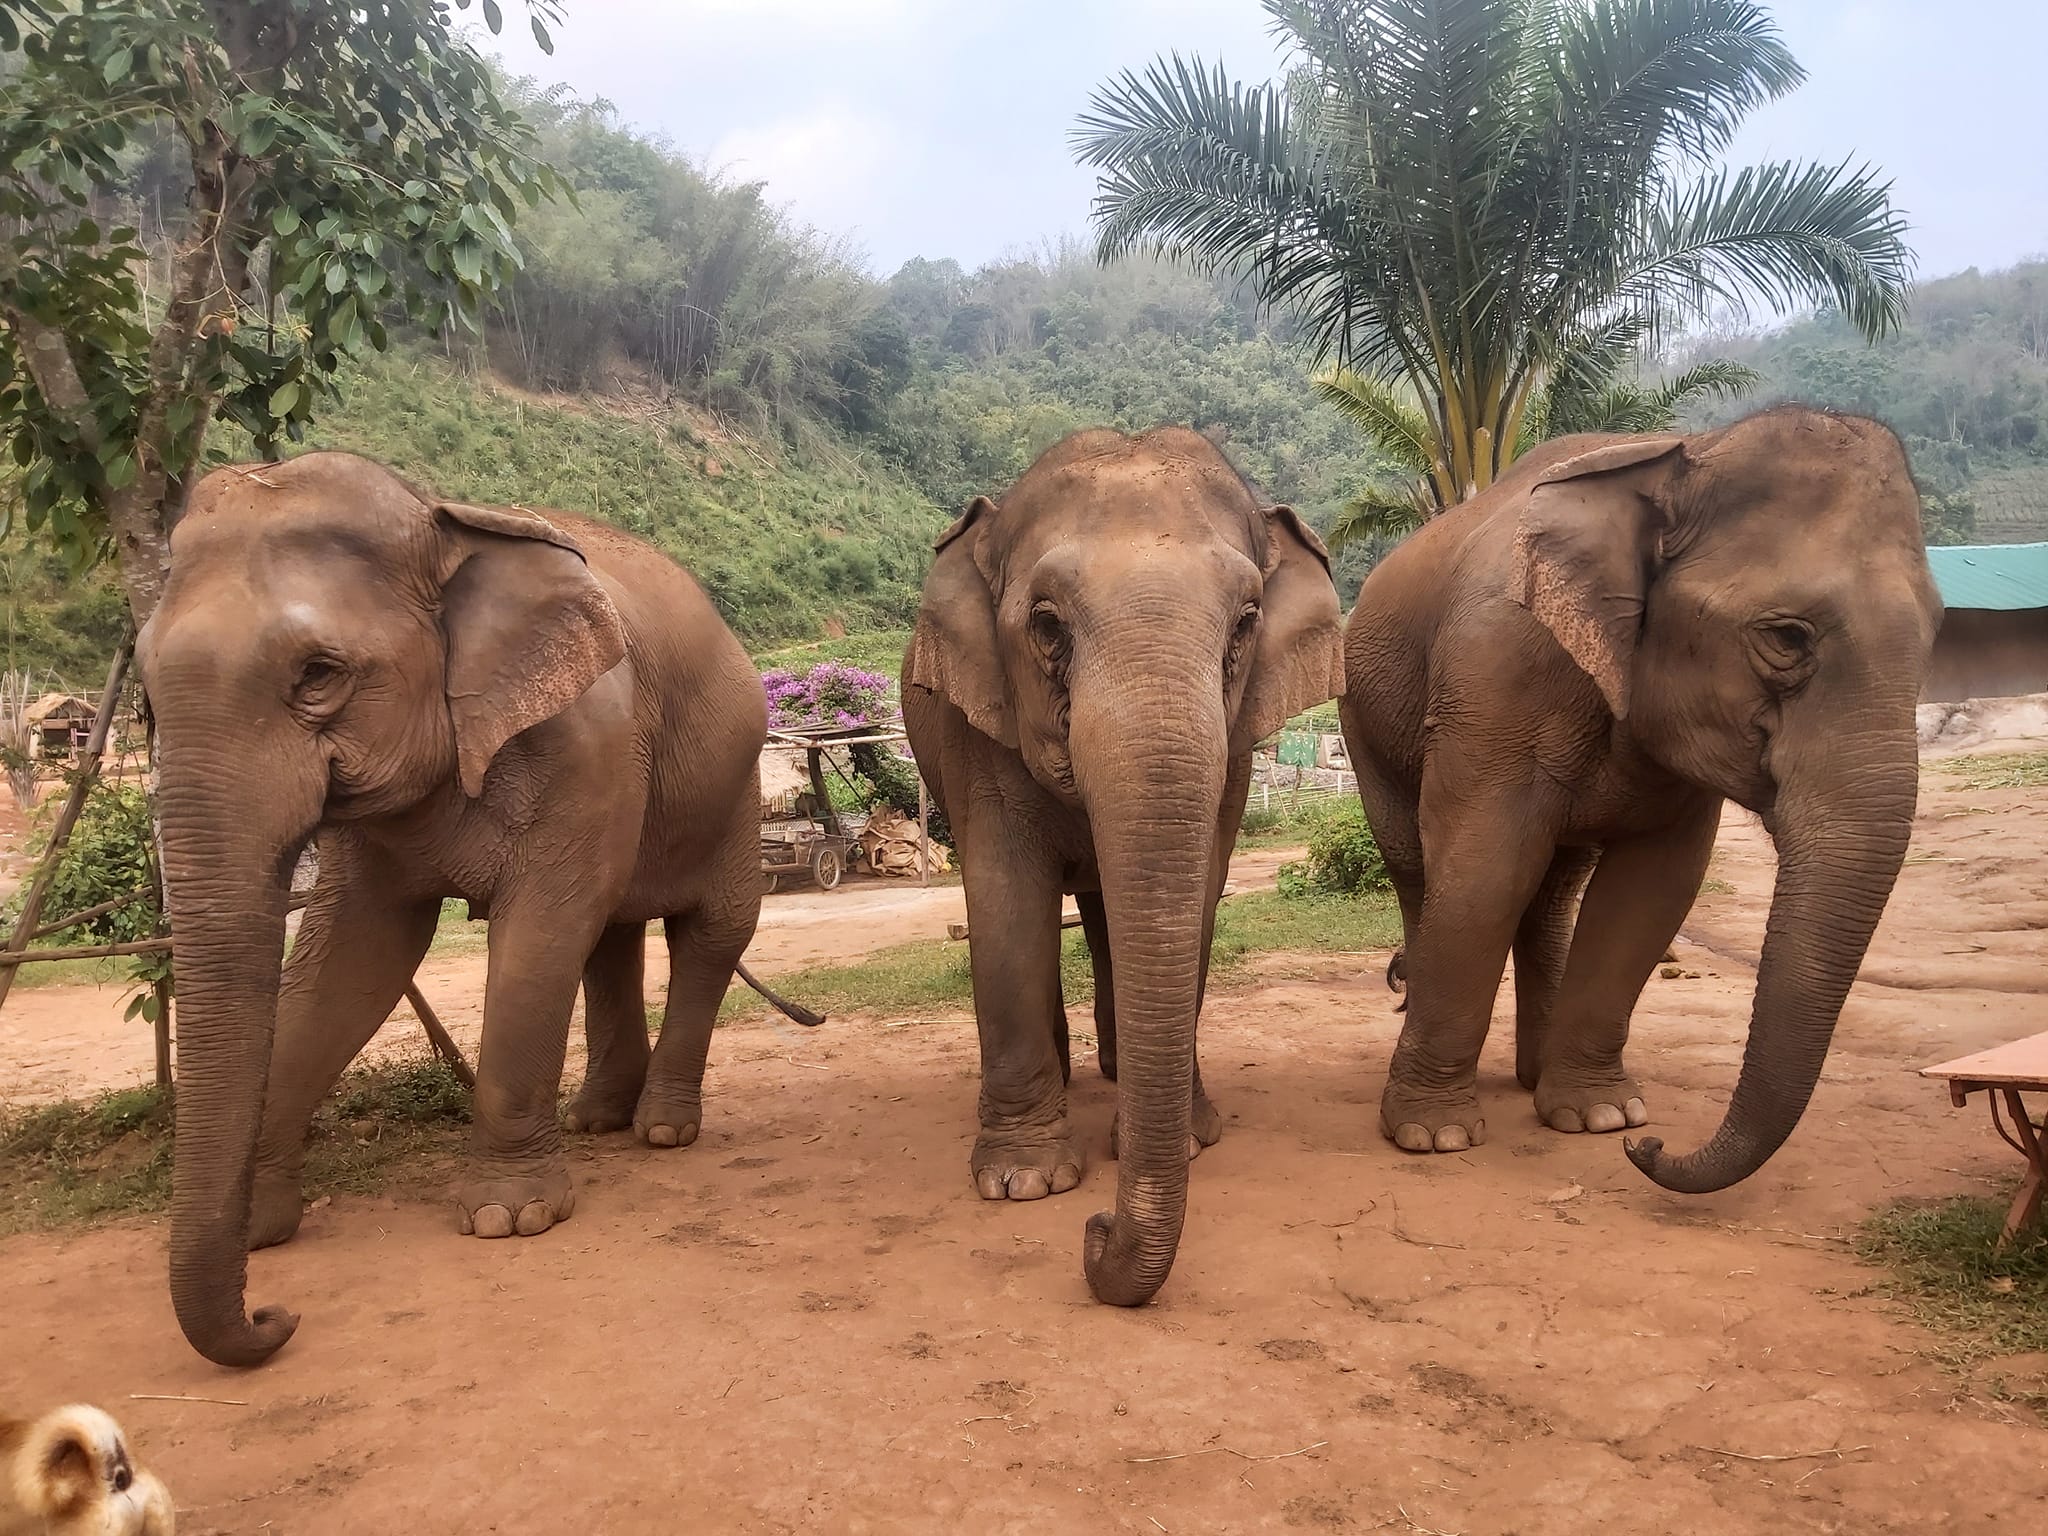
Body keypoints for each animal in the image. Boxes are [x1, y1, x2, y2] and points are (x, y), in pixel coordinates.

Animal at [137, 451, 769, 1367]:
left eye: (318, 674)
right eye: (144, 698)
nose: (276, 1317)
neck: (440, 518)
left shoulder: (589, 739)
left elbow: (542, 928)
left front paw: (511, 1217)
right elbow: (358, 954)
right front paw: (262, 1230)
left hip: (736, 781)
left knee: (712, 931)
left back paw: (660, 1132)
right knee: (610, 935)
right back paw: (596, 1121)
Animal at [902, 427, 1345, 1306]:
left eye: (1246, 622)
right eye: (1046, 626)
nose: (1096, 1231)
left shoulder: (1236, 749)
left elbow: (1197, 899)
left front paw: (1191, 1139)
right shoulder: (978, 728)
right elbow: (1006, 904)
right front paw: (1024, 1182)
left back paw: (1113, 1068)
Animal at [1339, 406, 1942, 1193]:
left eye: (1937, 637)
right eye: (1787, 637)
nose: (1652, 1151)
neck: (1688, 455)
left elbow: (1652, 887)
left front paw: (1602, 1118)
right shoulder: (1494, 672)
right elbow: (1482, 869)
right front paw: (1433, 1136)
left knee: (1551, 889)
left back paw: (1534, 1079)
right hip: (1363, 722)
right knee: (1421, 869)